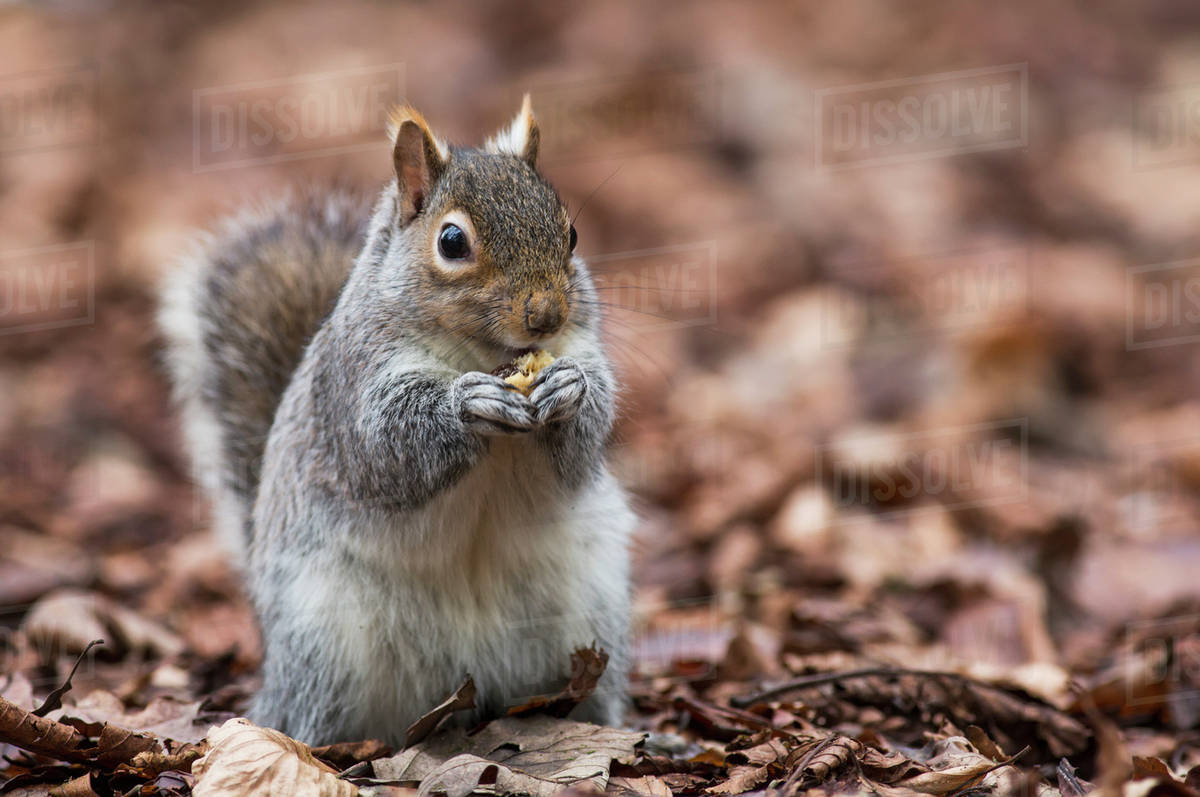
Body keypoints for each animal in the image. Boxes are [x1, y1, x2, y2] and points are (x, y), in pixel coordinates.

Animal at [158, 96, 634, 746]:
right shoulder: (353, 382)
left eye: (572, 233)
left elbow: (583, 441)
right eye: (452, 241)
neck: (481, 354)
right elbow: (385, 448)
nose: (546, 315)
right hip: (323, 639)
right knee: (311, 712)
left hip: (590, 607)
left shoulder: (580, 346)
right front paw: (467, 405)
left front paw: (571, 391)